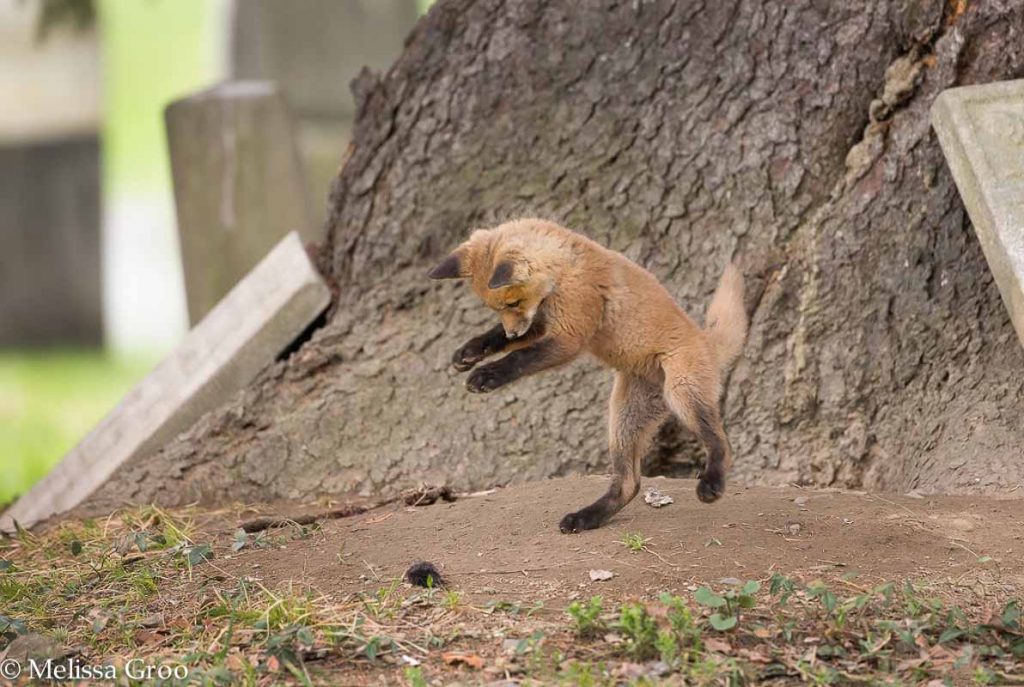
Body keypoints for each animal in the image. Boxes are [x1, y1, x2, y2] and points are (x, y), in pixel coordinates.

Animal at [427, 218, 748, 533]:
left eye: (512, 303)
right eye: (496, 307)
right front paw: (470, 351)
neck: (565, 269)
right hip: (623, 420)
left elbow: (519, 357)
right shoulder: (544, 321)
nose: (513, 333)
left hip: (682, 393)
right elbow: (497, 338)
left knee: (723, 442)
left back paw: (712, 481)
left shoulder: (570, 334)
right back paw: (587, 517)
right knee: (629, 483)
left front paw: (487, 375)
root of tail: (706, 341)